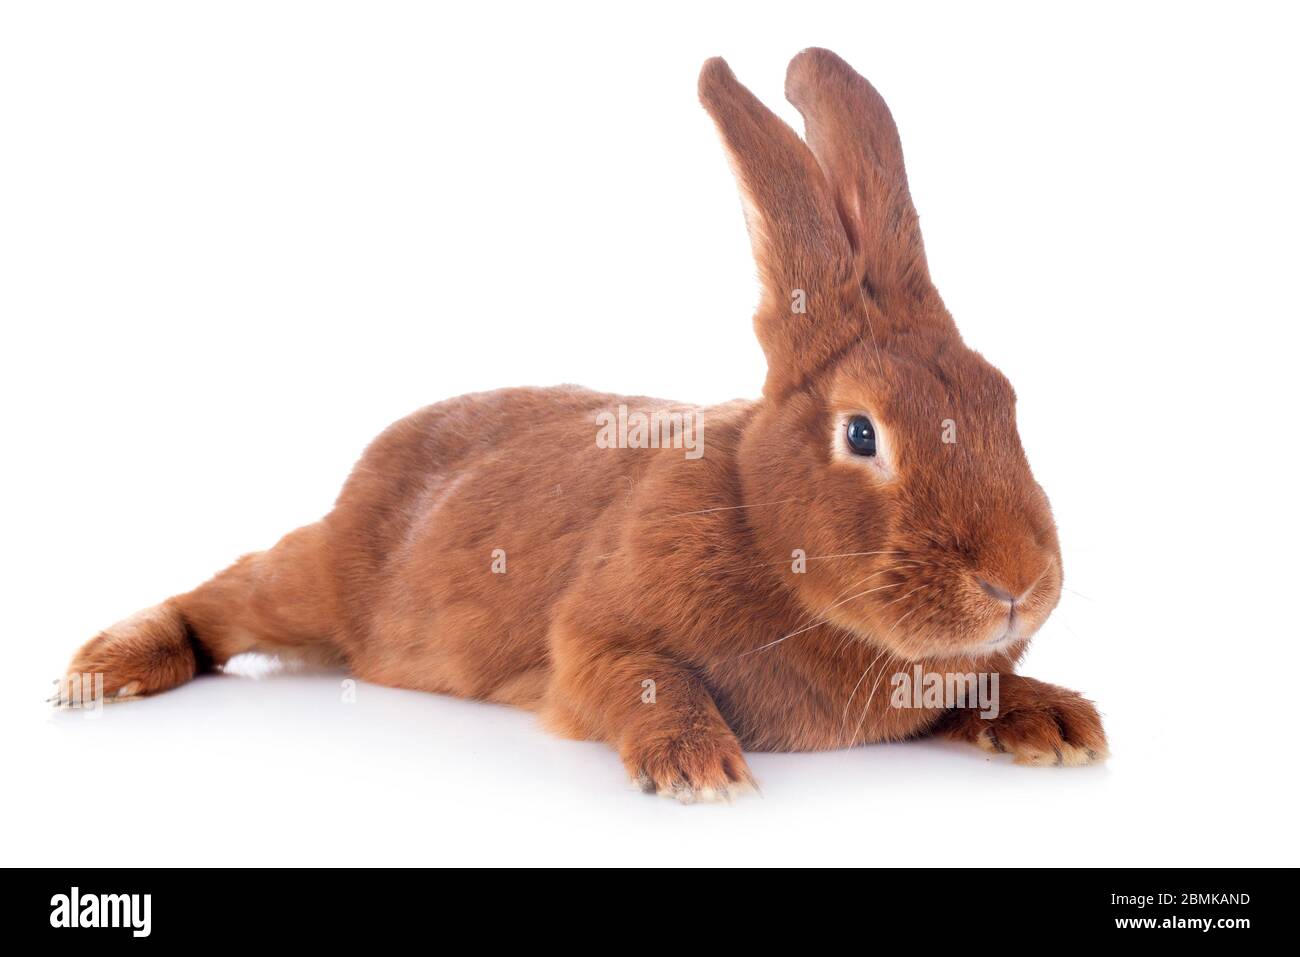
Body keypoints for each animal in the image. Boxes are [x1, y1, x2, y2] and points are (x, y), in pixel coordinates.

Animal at [64, 48, 1106, 801]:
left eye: (1005, 399)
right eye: (861, 434)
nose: (1017, 582)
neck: (761, 526)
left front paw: (1059, 726)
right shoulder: (593, 638)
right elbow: (640, 676)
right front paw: (698, 768)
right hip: (323, 580)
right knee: (225, 598)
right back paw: (103, 670)